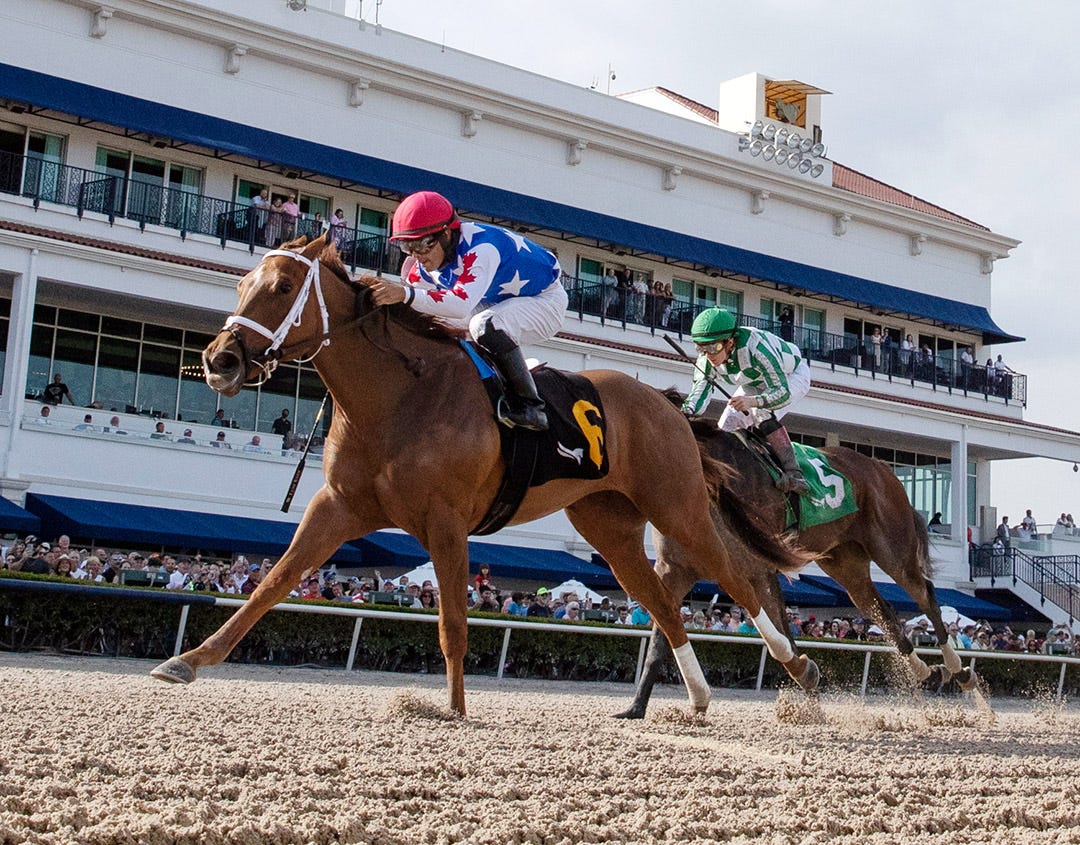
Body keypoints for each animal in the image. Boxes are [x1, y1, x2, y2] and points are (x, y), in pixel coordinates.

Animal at [150, 235, 815, 715]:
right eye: (242, 284)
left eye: (284, 286)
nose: (219, 360)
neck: (398, 397)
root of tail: (669, 404)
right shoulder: (337, 507)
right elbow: (271, 583)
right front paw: (188, 660)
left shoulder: (445, 522)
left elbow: (452, 622)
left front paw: (454, 708)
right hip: (608, 526)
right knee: (661, 604)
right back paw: (697, 697)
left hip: (676, 503)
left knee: (736, 577)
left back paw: (797, 664)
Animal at [616, 410, 978, 719]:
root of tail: (884, 468)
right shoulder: (674, 573)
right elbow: (661, 641)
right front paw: (636, 707)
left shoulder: (757, 570)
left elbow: (782, 640)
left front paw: (809, 684)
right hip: (845, 563)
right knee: (882, 611)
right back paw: (928, 671)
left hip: (892, 548)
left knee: (926, 595)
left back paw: (959, 670)